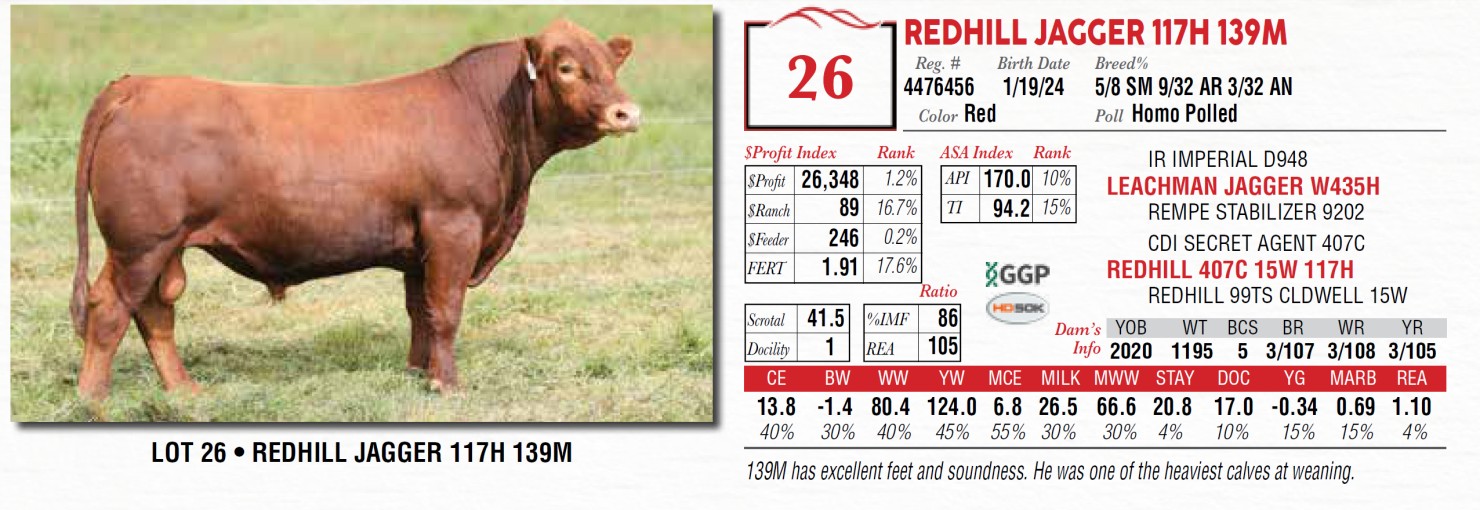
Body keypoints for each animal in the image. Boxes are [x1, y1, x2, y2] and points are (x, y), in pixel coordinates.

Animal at [68, 19, 640, 400]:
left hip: (154, 248)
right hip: (142, 243)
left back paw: (185, 390)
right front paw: (449, 385)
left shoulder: (420, 245)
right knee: (111, 308)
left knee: (154, 311)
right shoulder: (453, 226)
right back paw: (93, 399)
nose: (626, 113)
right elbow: (447, 310)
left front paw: (418, 374)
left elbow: (421, 311)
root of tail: (137, 83)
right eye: (566, 68)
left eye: (613, 65)